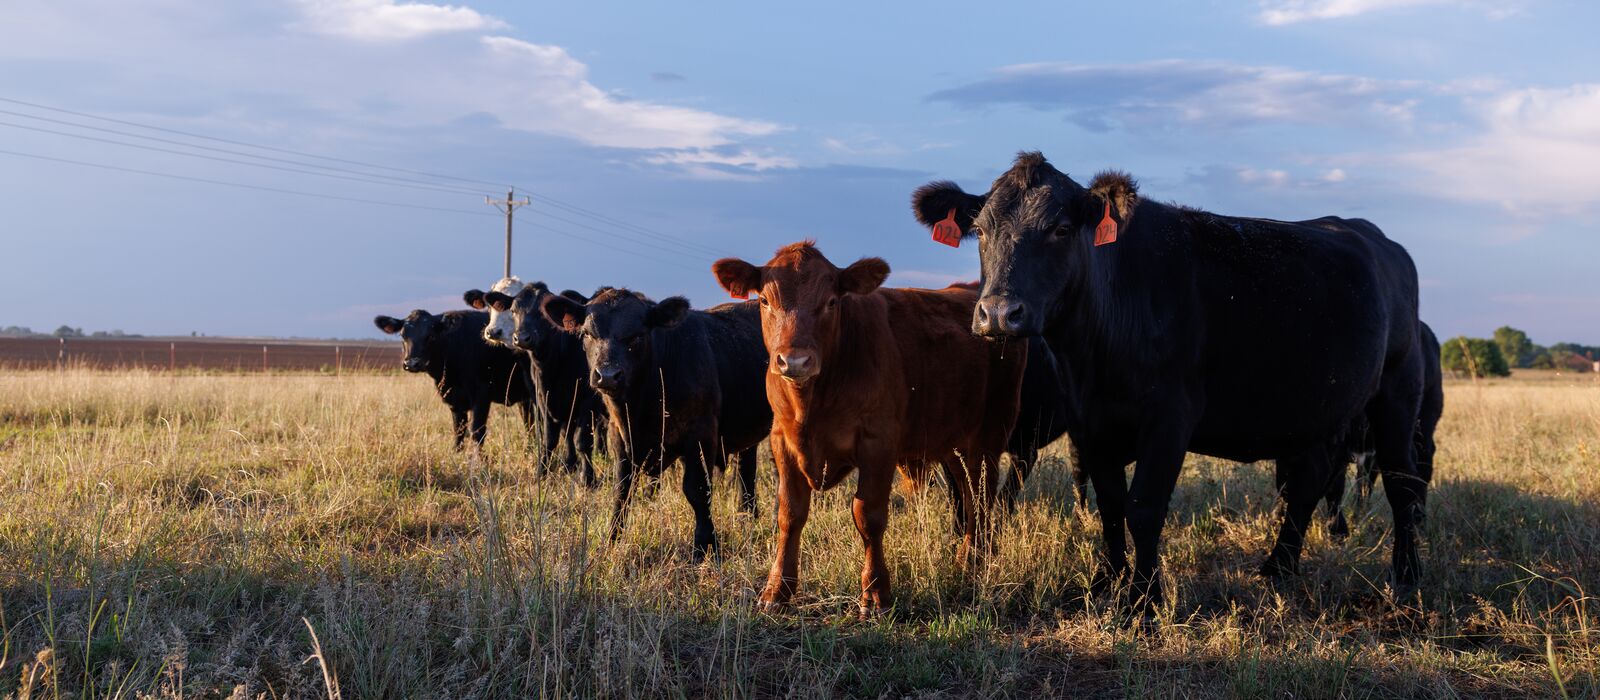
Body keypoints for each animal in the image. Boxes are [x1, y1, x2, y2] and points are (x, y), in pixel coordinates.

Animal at [372, 309, 537, 450]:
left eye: (430, 336)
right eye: (402, 336)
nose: (412, 363)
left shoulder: (481, 396)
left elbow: (477, 432)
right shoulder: (455, 401)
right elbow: (458, 433)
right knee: (530, 425)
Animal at [473, 283, 605, 487]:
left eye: (544, 314)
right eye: (514, 310)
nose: (521, 338)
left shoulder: (587, 401)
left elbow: (583, 441)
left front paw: (588, 479)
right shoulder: (544, 399)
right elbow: (549, 439)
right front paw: (542, 473)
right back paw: (570, 464)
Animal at [539, 289, 772, 560]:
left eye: (638, 335)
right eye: (587, 333)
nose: (607, 375)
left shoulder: (700, 435)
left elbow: (697, 490)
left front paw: (705, 547)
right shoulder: (620, 438)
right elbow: (622, 490)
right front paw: (612, 541)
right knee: (747, 470)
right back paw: (748, 514)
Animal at [712, 242, 1026, 616]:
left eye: (832, 301)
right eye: (763, 300)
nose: (795, 361)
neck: (812, 403)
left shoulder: (878, 443)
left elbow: (868, 515)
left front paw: (876, 594)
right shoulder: (782, 442)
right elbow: (789, 514)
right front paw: (777, 591)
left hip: (991, 432)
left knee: (981, 497)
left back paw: (976, 561)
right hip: (955, 443)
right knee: (968, 494)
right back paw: (970, 559)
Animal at [911, 152, 1429, 609]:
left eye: (1060, 229)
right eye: (980, 231)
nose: (999, 313)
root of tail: (1376, 238)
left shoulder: (1169, 418)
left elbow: (1143, 507)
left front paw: (1144, 601)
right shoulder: (1090, 423)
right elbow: (1110, 504)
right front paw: (1108, 583)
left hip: (1399, 391)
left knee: (1402, 481)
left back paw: (1405, 580)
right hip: (1318, 406)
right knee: (1308, 481)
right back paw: (1277, 570)